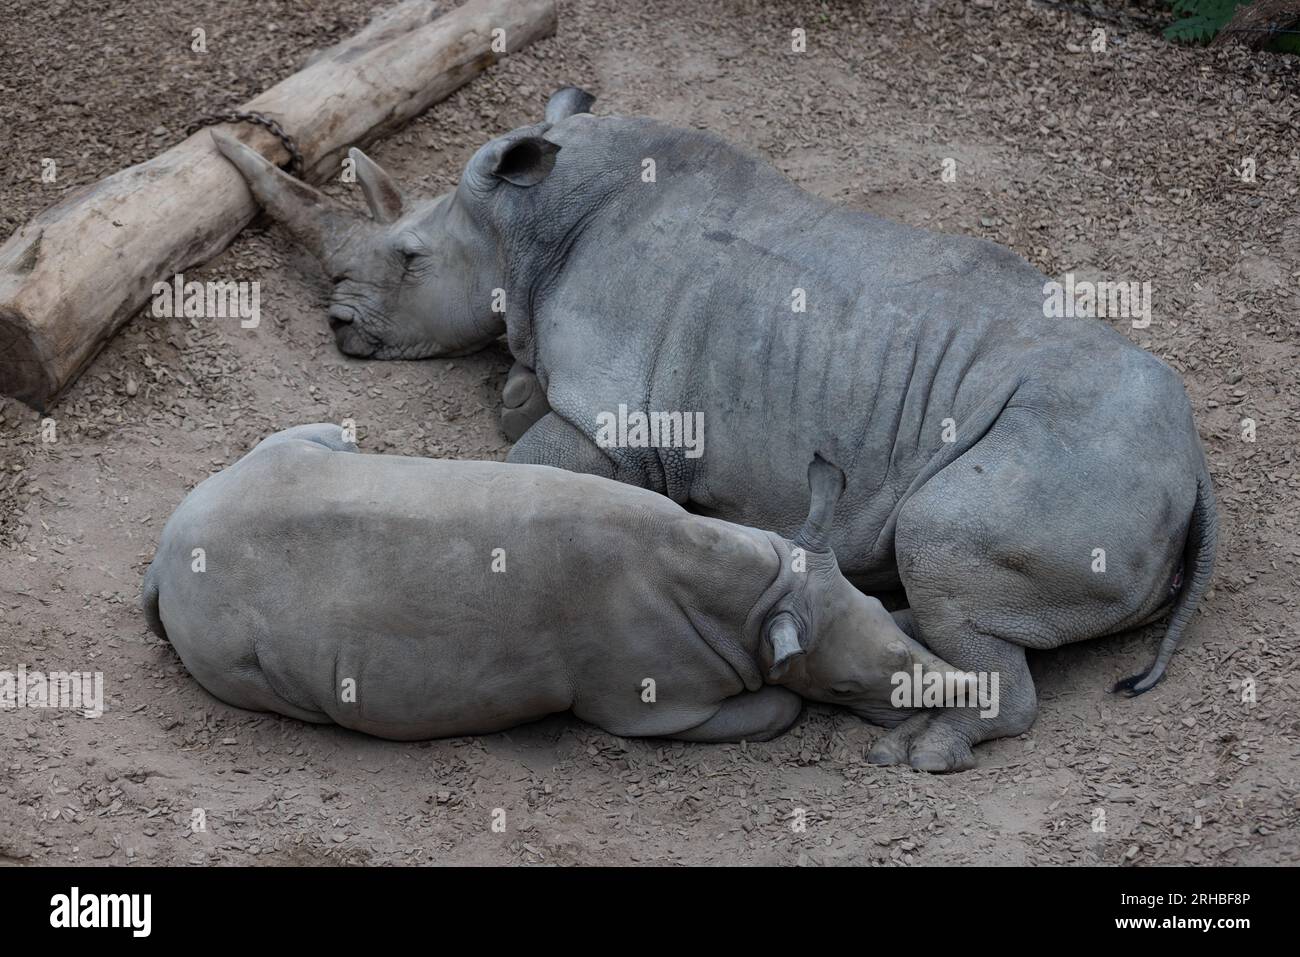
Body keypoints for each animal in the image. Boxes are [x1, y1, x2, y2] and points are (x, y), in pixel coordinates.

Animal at [142, 424, 970, 742]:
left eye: (880, 603)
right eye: (844, 689)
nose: (951, 690)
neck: (759, 597)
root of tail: (165, 549)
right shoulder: (652, 704)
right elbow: (776, 708)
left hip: (268, 461)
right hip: (230, 632)